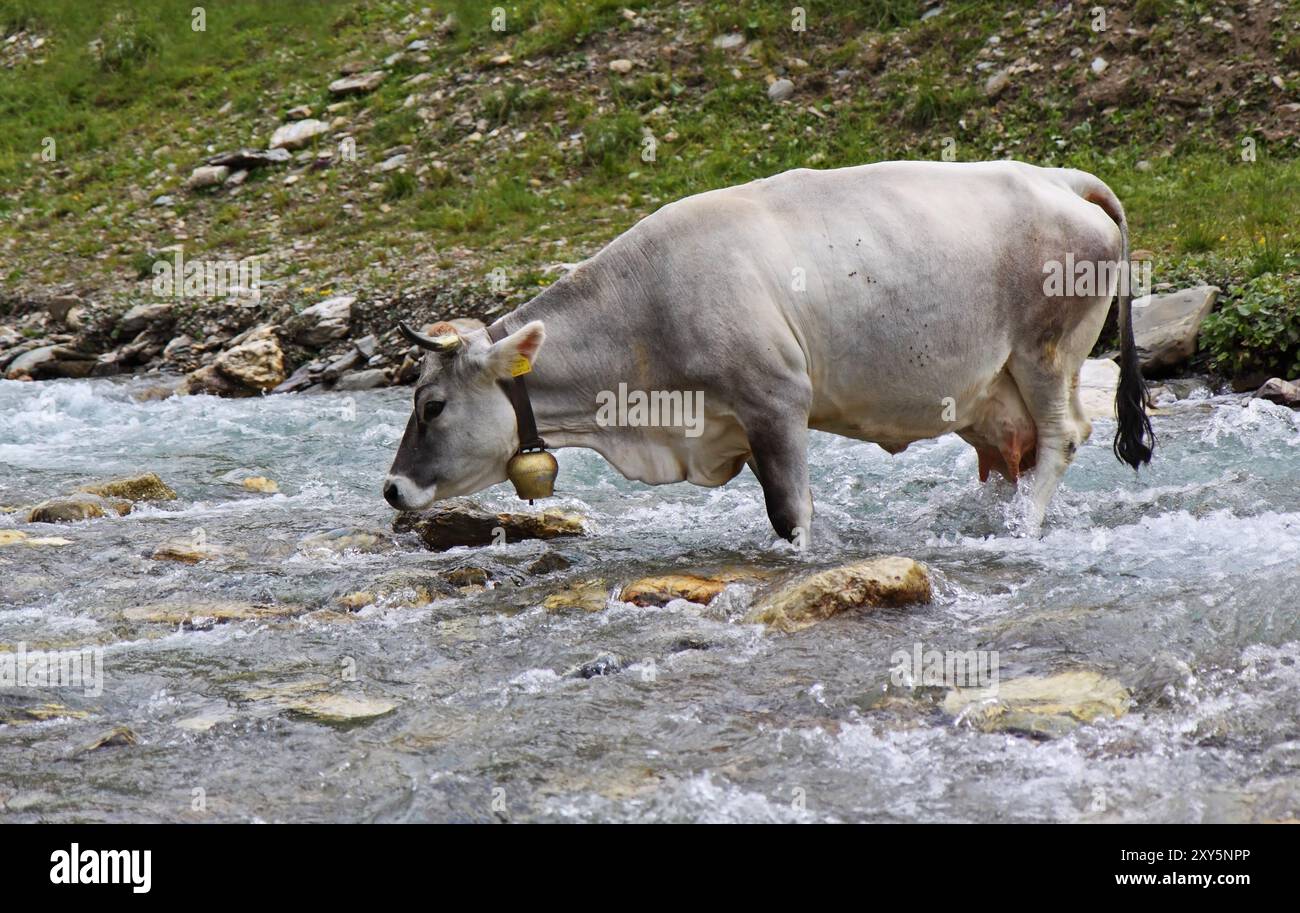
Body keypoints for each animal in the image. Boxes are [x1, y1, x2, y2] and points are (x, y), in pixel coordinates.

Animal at [384, 160, 1153, 540]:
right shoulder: (739, 423)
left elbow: (790, 515)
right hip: (990, 390)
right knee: (1008, 455)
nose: (390, 487)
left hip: (1044, 353)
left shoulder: (777, 400)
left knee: (1064, 435)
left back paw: (1023, 530)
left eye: (433, 405)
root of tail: (1061, 178)